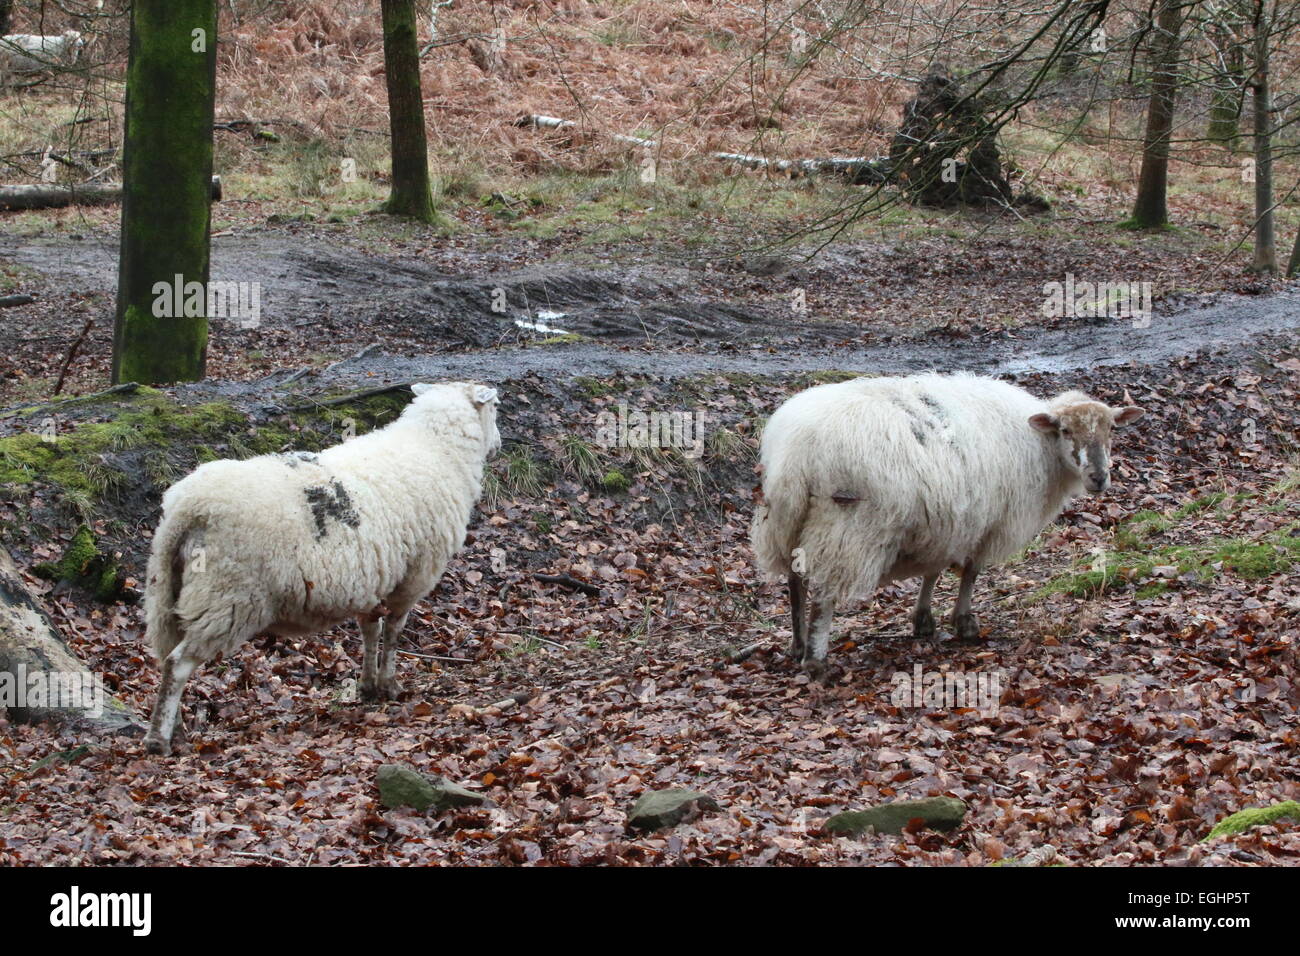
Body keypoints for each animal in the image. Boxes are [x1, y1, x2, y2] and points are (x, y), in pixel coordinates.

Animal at [142, 382, 501, 755]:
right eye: (496, 408)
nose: (500, 443)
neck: (436, 448)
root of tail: (189, 508)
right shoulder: (413, 576)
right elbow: (393, 633)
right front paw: (390, 685)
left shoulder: (375, 579)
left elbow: (370, 630)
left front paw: (368, 686)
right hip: (227, 596)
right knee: (178, 664)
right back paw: (158, 740)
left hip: (166, 589)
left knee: (165, 656)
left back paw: (176, 730)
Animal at [750, 373, 1142, 676]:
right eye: (1065, 430)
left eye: (1111, 429)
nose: (1099, 478)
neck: (1041, 447)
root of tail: (796, 456)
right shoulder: (989, 523)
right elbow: (970, 572)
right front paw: (964, 622)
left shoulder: (948, 517)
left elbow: (933, 571)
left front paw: (923, 620)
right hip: (846, 528)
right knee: (823, 594)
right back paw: (815, 660)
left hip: (785, 524)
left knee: (794, 584)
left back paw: (797, 645)